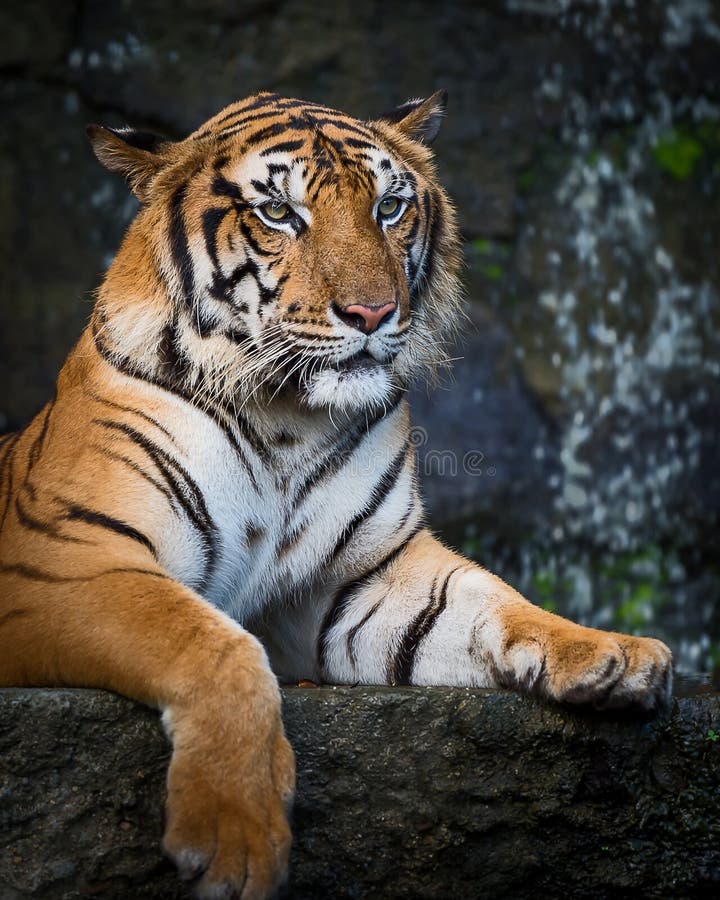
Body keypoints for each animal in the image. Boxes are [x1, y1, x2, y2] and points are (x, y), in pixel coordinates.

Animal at [0, 90, 672, 899]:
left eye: (389, 207)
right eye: (280, 213)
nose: (373, 315)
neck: (284, 419)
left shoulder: (364, 575)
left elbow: (490, 598)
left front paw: (612, 652)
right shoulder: (65, 563)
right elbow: (211, 641)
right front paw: (235, 836)